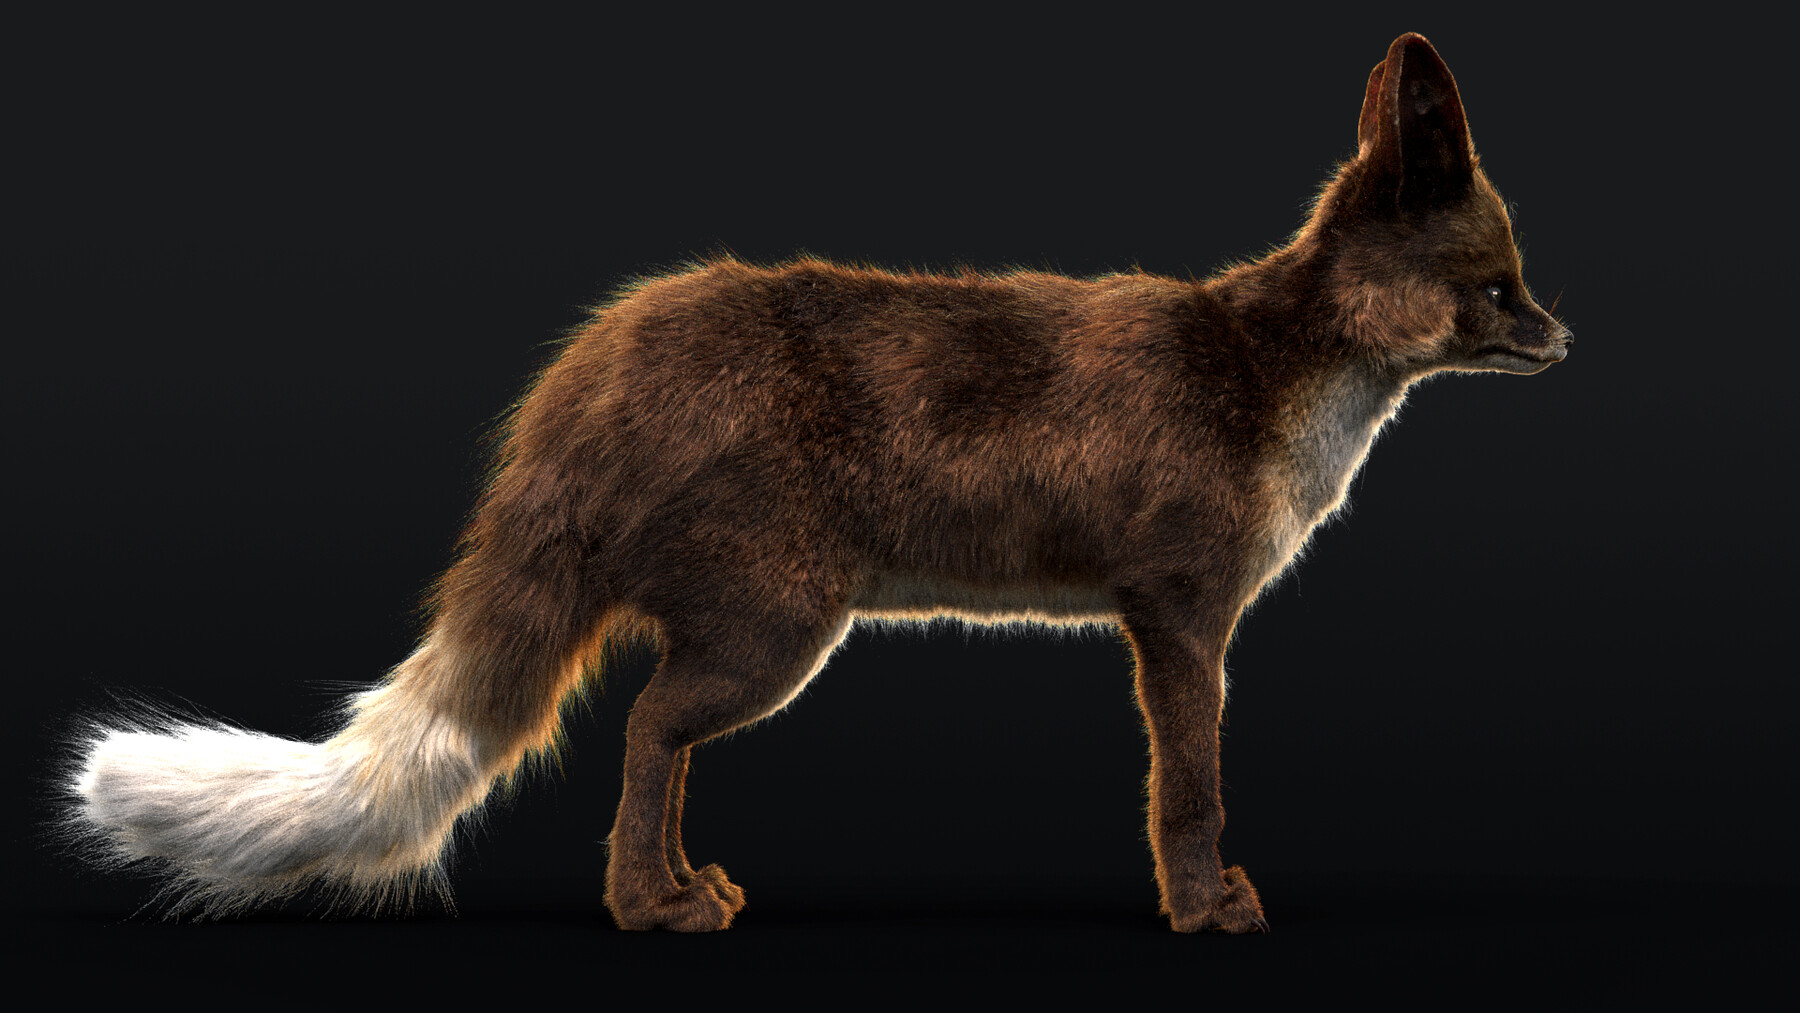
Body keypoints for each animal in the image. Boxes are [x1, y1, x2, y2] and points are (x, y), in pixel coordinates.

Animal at [67, 32, 1569, 933]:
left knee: (649, 736)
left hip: (755, 634)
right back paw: (654, 905)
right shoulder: (1179, 619)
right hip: (777, 637)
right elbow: (1188, 788)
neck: (1275, 382)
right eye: (1498, 284)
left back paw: (676, 884)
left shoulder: (1167, 622)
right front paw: (1205, 908)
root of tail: (592, 369)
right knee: (645, 730)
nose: (1568, 337)